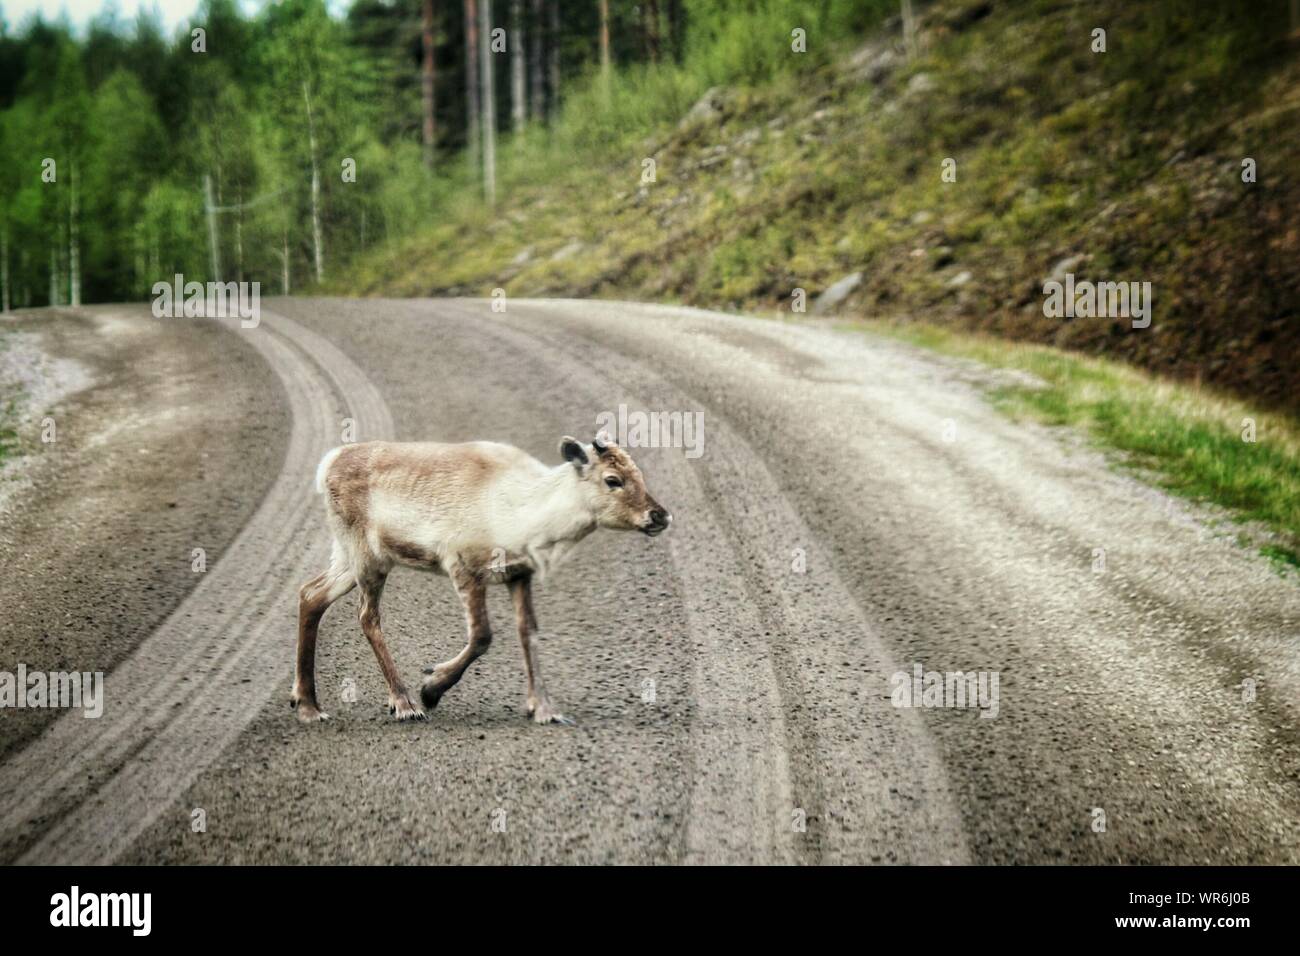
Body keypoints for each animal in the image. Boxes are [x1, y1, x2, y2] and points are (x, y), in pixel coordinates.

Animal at [292, 432, 672, 725]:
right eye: (612, 480)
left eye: (638, 473)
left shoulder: (519, 574)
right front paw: (431, 688)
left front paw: (545, 709)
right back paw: (404, 703)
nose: (660, 516)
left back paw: (307, 705)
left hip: (348, 558)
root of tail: (327, 464)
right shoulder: (463, 565)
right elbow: (482, 636)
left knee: (310, 594)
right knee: (367, 616)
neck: (526, 511)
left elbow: (528, 632)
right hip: (368, 557)